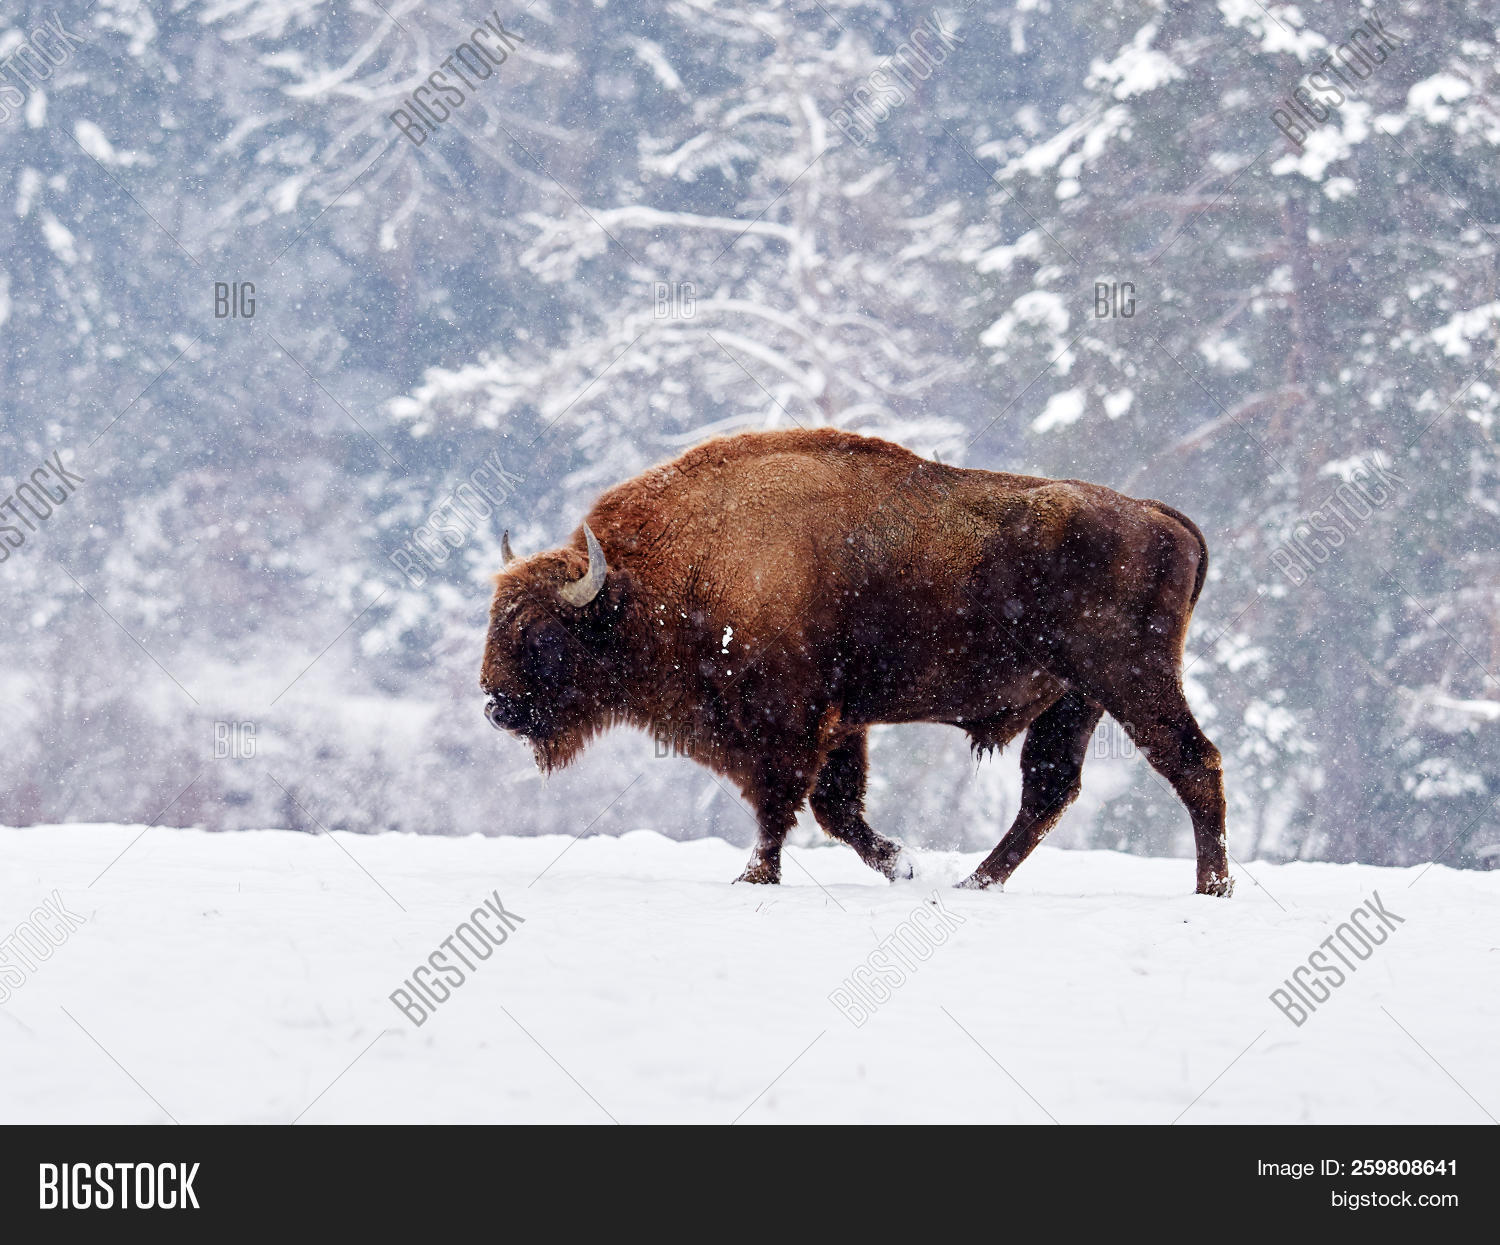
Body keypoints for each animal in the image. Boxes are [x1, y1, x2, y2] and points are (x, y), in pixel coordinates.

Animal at [481, 428, 1231, 896]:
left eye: (541, 634)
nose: (494, 703)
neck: (657, 574)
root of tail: (1158, 516)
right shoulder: (841, 725)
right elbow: (834, 807)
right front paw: (903, 865)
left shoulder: (787, 721)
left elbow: (782, 803)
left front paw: (755, 877)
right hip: (1077, 698)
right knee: (1049, 789)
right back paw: (975, 881)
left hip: (1129, 679)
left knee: (1193, 763)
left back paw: (1212, 889)